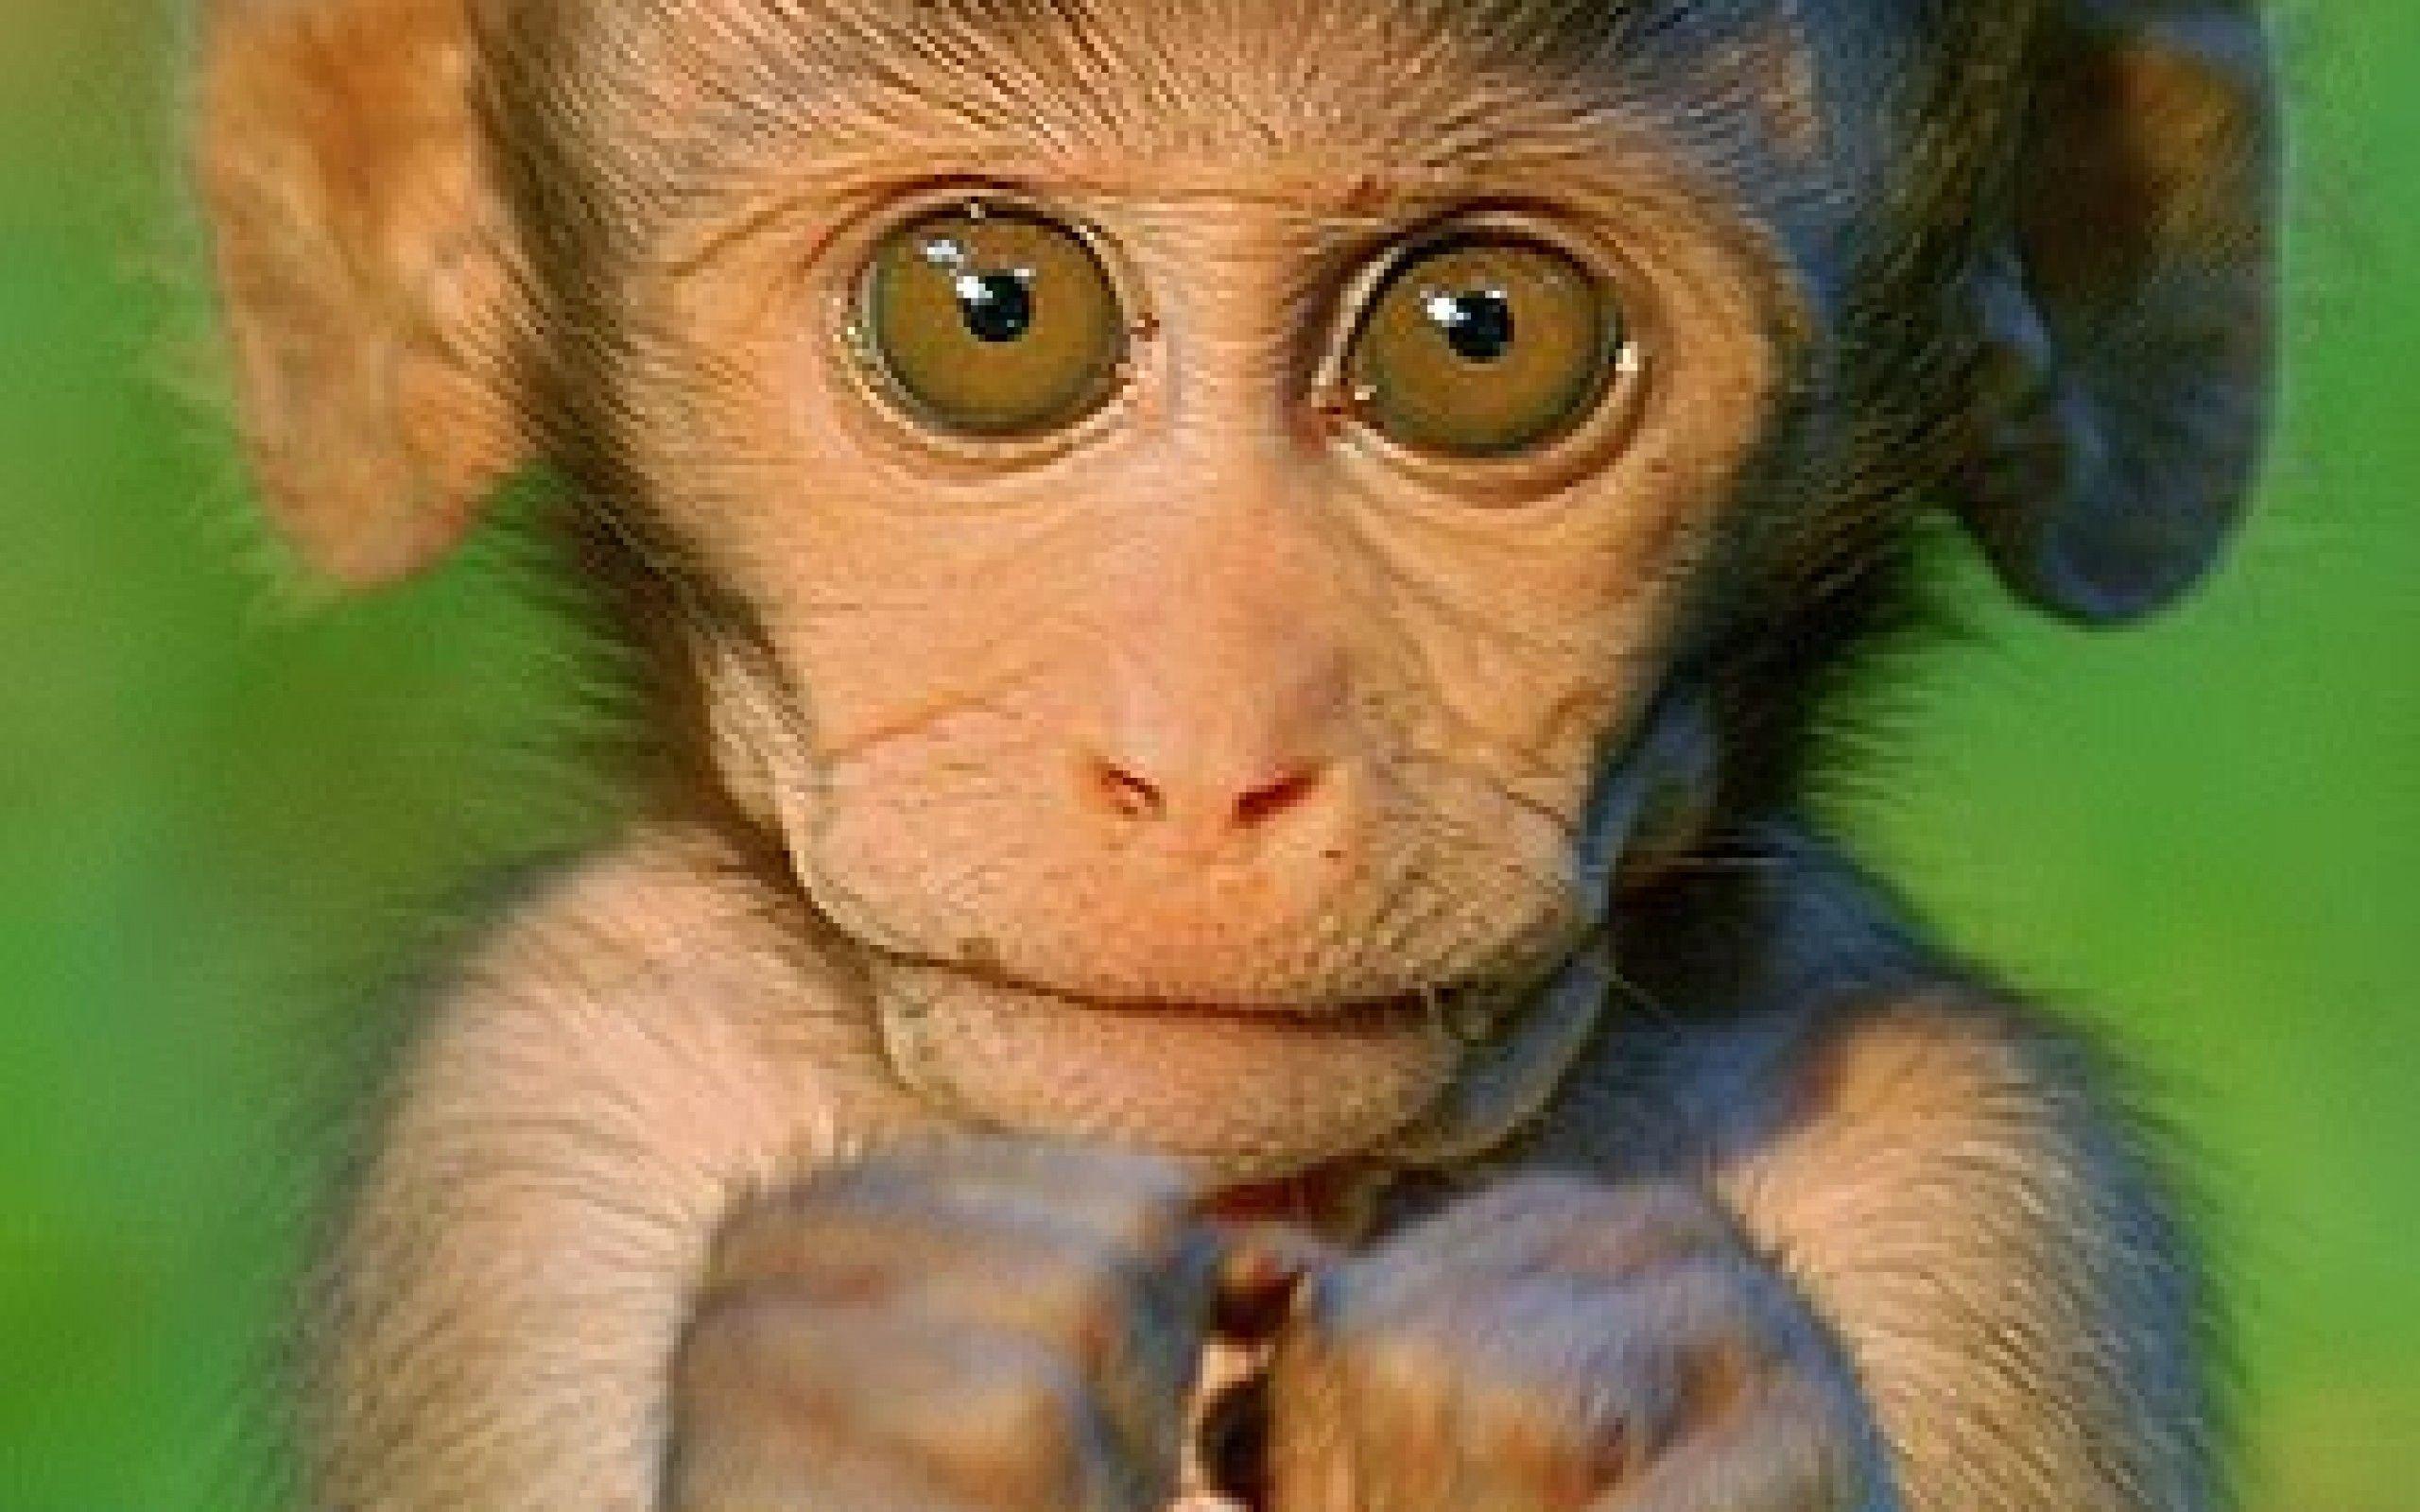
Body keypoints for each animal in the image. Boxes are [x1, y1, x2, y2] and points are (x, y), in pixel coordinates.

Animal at [191, 0, 2276, 1508]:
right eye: (988, 310)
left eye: (1480, 333)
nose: (1204, 759)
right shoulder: (525, 1116)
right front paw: (869, 1381)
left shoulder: (1982, 1176)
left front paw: (1598, 1395)